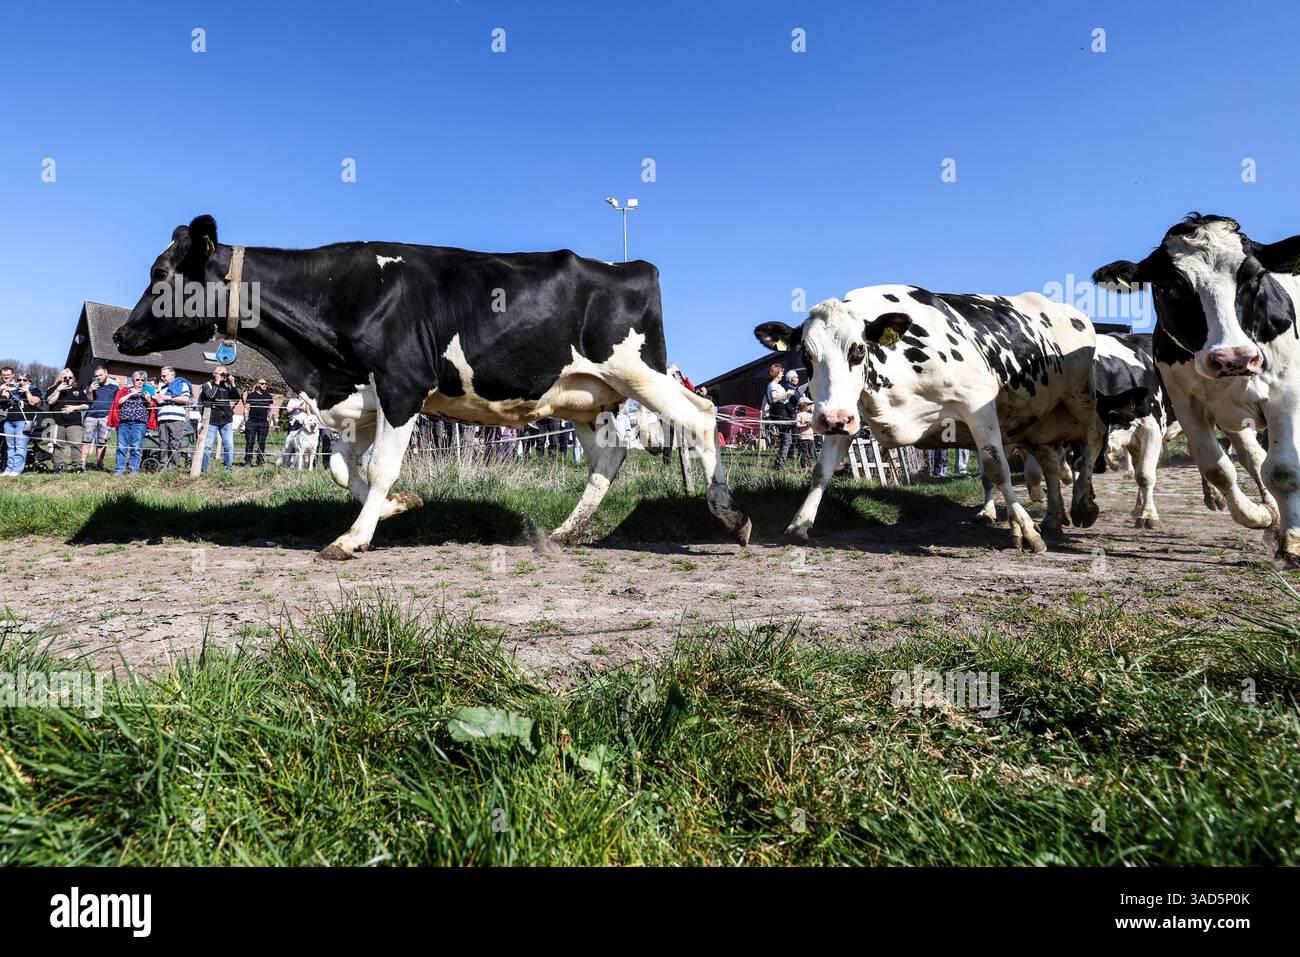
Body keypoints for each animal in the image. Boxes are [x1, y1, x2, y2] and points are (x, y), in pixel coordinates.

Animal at [113, 215, 750, 558]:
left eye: (162, 273)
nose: (120, 332)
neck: (313, 364)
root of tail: (631, 266)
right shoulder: (357, 397)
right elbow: (344, 469)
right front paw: (397, 507)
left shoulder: (402, 386)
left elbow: (378, 468)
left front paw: (353, 537)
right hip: (582, 396)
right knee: (611, 454)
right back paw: (567, 532)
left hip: (637, 371)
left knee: (700, 416)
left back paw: (731, 518)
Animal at [754, 285, 1104, 553]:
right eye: (806, 355)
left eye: (858, 350)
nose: (831, 419)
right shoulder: (849, 413)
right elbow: (821, 471)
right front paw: (799, 524)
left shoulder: (977, 403)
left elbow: (996, 467)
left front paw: (1029, 533)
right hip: (1038, 419)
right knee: (1050, 460)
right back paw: (1053, 518)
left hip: (1079, 395)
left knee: (1093, 436)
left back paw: (1082, 505)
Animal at [1093, 213, 1300, 565]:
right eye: (1167, 288)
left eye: (1256, 278)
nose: (1233, 358)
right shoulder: (1187, 405)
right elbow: (1218, 468)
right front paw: (1259, 516)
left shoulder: (1285, 396)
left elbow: (1284, 470)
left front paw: (1291, 542)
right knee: (1253, 458)